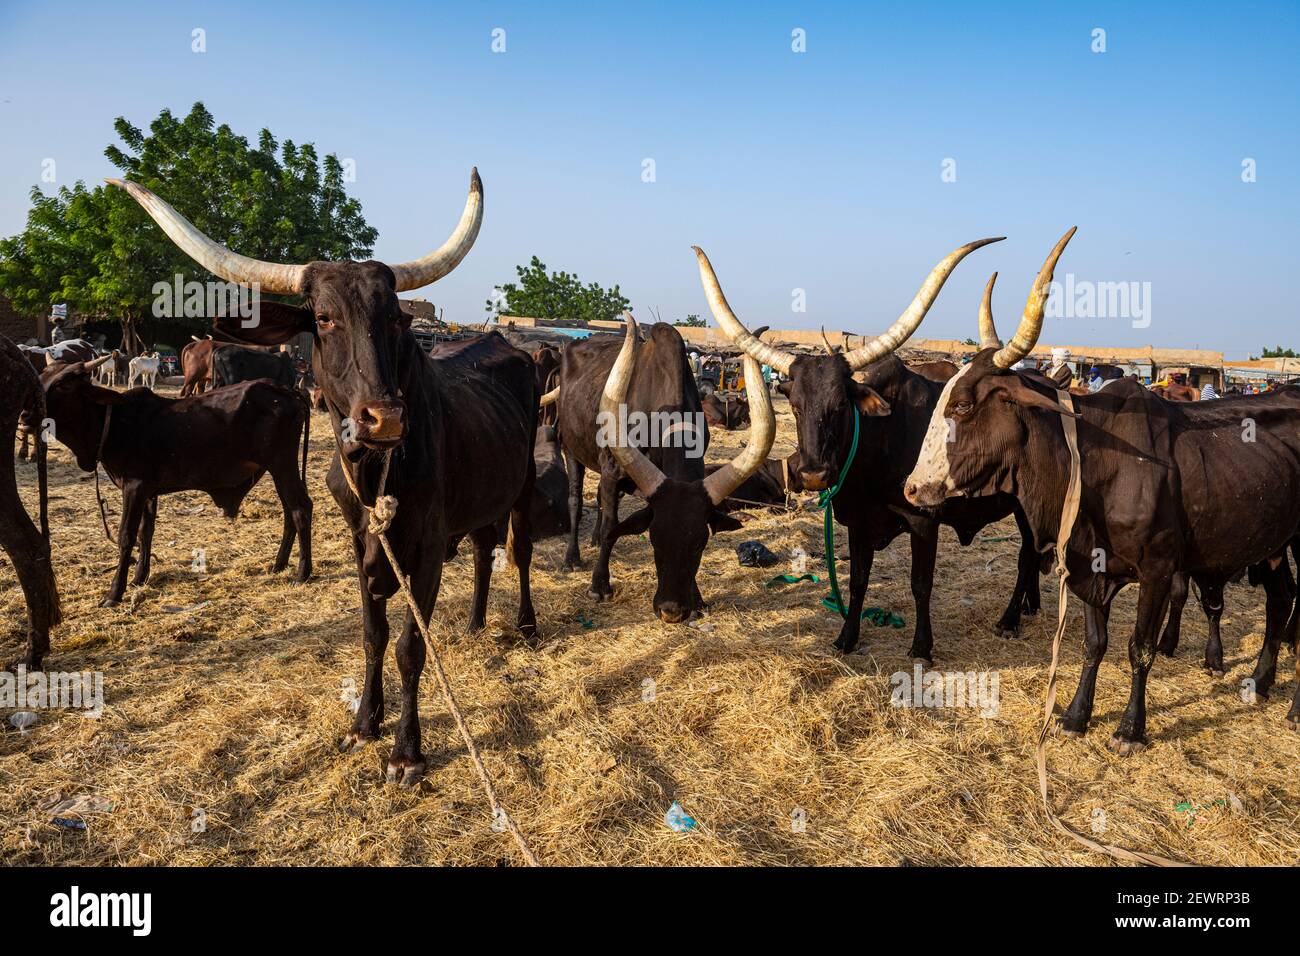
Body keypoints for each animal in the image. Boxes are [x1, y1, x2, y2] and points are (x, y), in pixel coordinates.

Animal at [41, 355, 313, 607]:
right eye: (44, 375)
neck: (112, 422)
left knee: (301, 508)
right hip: (277, 469)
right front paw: (139, 577)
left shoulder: (134, 487)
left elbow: (126, 536)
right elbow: (145, 532)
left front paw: (114, 594)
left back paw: (302, 573)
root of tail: (289, 391)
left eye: (65, 384)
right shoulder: (148, 491)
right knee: (289, 511)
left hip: (282, 463)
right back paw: (279, 564)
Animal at [114, 169, 546, 785]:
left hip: (524, 482)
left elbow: (410, 646)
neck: (374, 469)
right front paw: (365, 722)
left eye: (393, 318)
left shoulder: (428, 546)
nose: (384, 418)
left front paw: (407, 752)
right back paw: (476, 621)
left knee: (521, 549)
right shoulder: (362, 538)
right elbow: (372, 636)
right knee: (487, 548)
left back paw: (526, 625)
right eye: (322, 317)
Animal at [549, 311, 774, 622]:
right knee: (576, 500)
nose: (671, 610)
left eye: (700, 543)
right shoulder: (612, 470)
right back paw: (573, 558)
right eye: (654, 539)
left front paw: (697, 598)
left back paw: (592, 541)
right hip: (571, 449)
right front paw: (599, 586)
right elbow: (610, 526)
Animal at [695, 240, 1045, 661]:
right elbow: (858, 582)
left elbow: (920, 585)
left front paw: (922, 646)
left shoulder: (923, 522)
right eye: (794, 404)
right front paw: (847, 637)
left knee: (1028, 556)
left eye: (840, 405)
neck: (873, 454)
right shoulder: (858, 524)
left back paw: (1010, 619)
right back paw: (1030, 607)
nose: (813, 474)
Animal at [904, 227, 1300, 749]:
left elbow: (1139, 648)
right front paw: (1075, 715)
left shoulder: (1158, 569)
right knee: (1280, 600)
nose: (912, 489)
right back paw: (1263, 679)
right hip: (1274, 546)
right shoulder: (1089, 566)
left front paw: (1131, 727)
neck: (1092, 469)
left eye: (965, 406)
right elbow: (1096, 644)